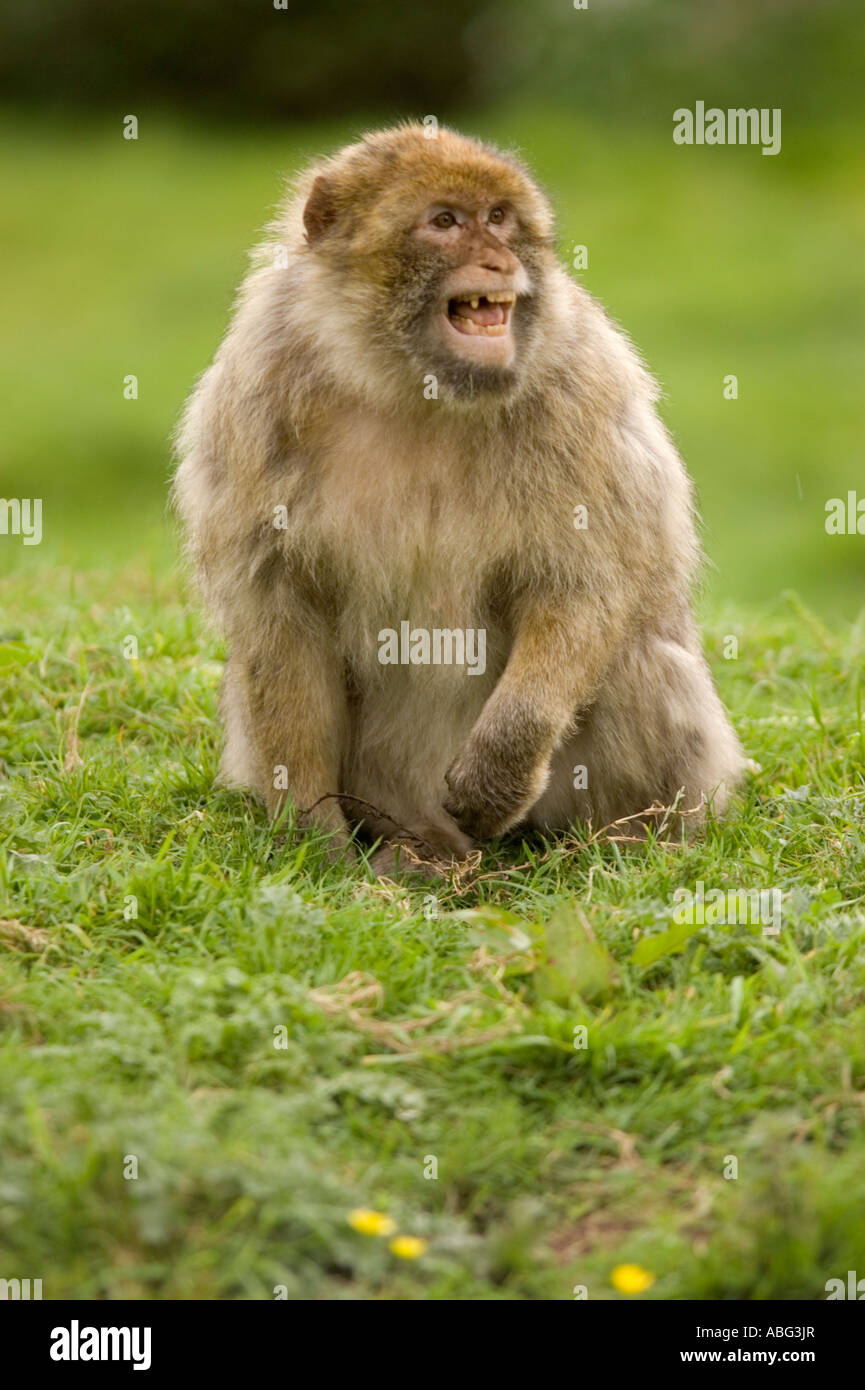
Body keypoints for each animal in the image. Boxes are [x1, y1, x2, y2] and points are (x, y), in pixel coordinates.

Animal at [173, 123, 744, 874]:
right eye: (444, 222)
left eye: (498, 218)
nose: (498, 261)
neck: (411, 386)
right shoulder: (253, 402)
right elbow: (281, 621)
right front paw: (317, 843)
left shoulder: (581, 386)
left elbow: (587, 584)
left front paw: (497, 770)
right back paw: (411, 848)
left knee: (637, 656)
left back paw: (621, 841)